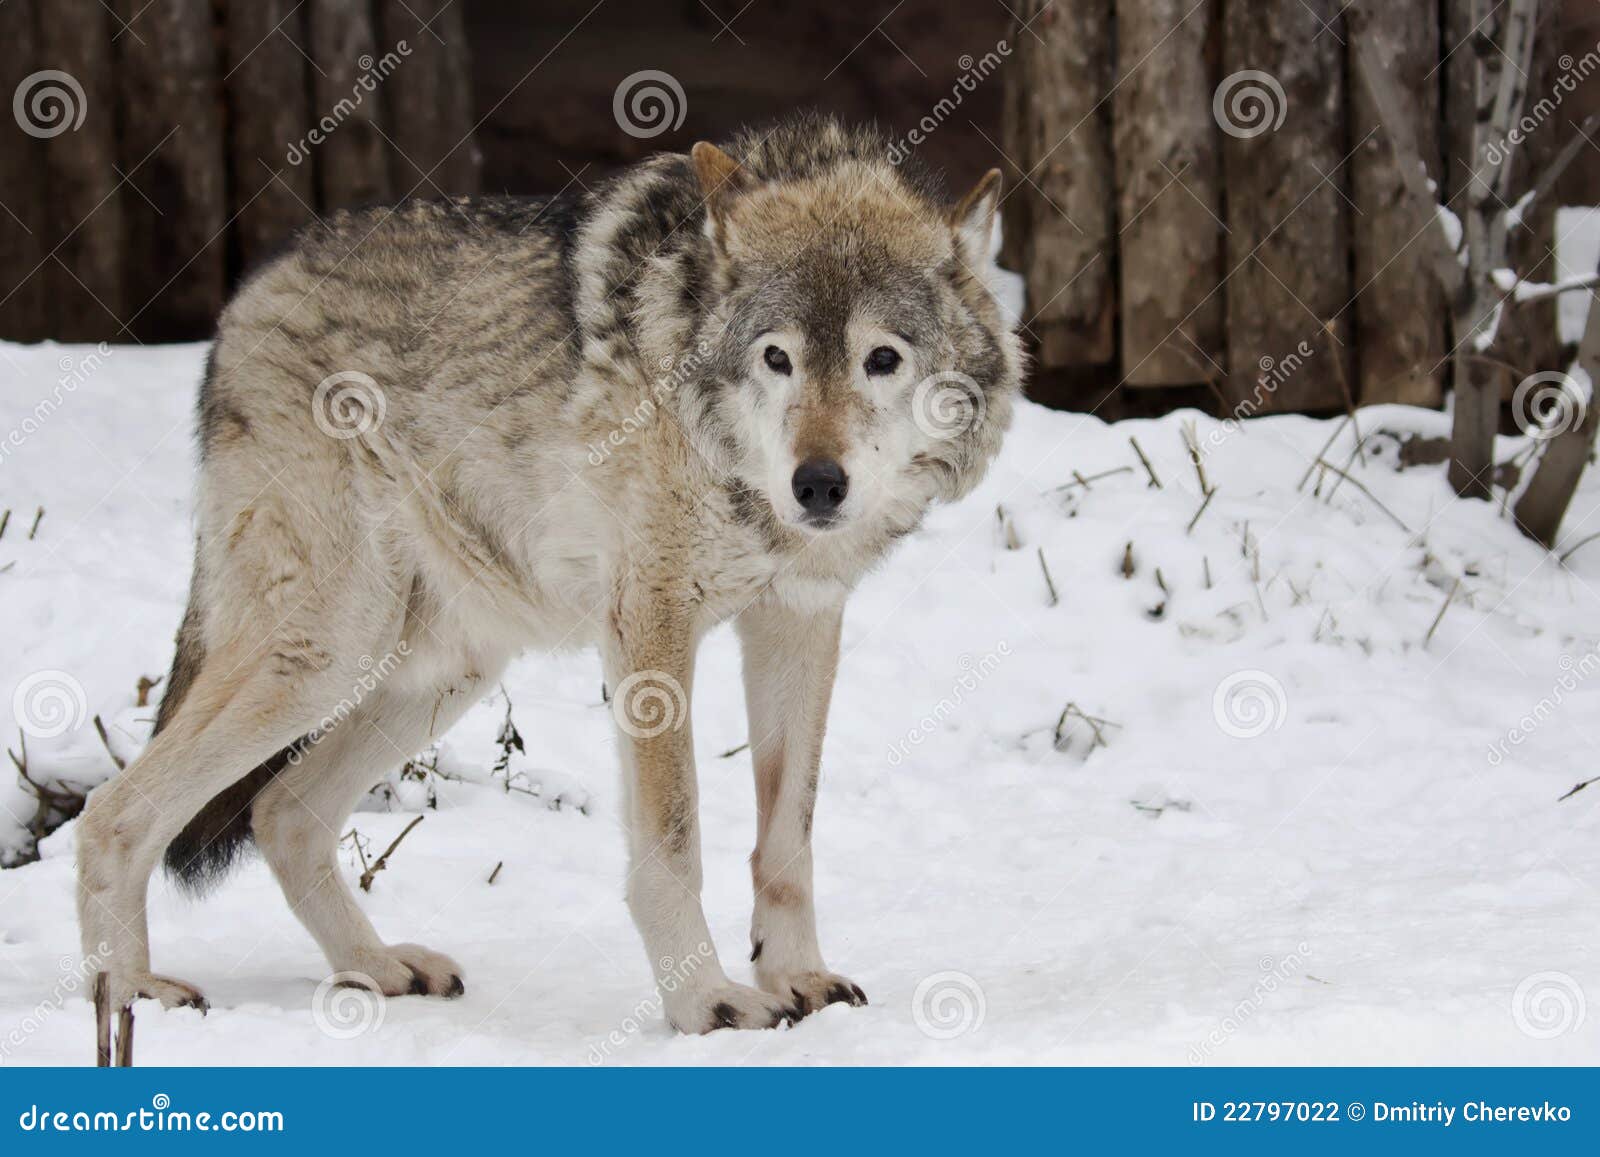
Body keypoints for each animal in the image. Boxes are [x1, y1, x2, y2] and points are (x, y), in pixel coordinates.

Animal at [76, 114, 1023, 1034]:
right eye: (777, 358)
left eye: (882, 359)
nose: (818, 484)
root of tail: (247, 296)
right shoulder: (651, 621)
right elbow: (673, 841)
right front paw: (705, 1003)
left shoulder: (799, 622)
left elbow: (788, 836)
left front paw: (797, 978)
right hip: (326, 651)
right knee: (114, 811)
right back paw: (129, 998)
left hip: (439, 669)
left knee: (281, 813)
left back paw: (376, 967)